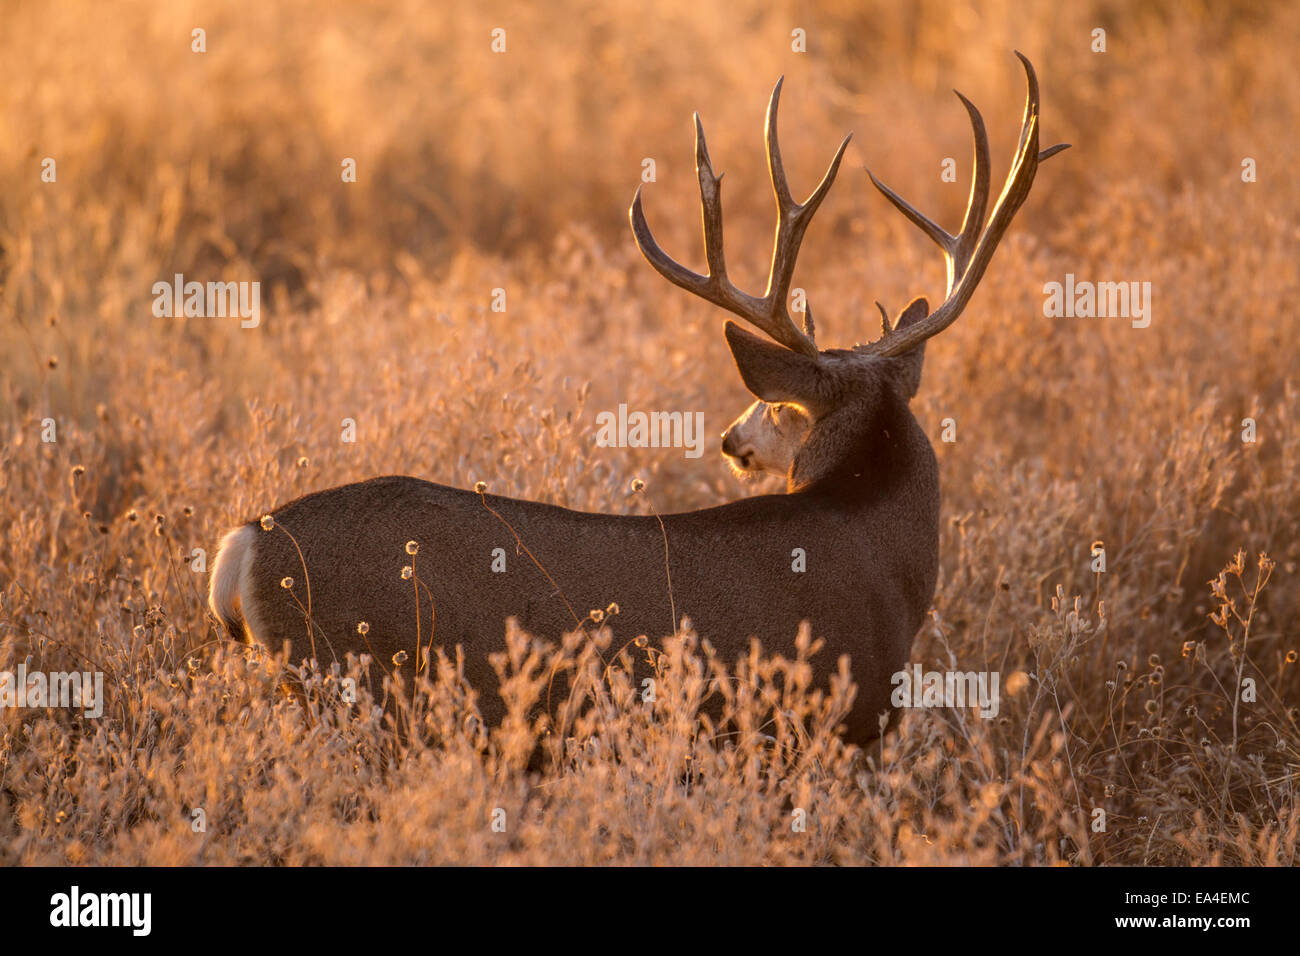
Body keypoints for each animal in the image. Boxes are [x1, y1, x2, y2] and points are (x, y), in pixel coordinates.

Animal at [208, 53, 1066, 748]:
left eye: (780, 413)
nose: (730, 440)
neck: (880, 555)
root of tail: (244, 544)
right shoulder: (828, 729)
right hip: (354, 691)